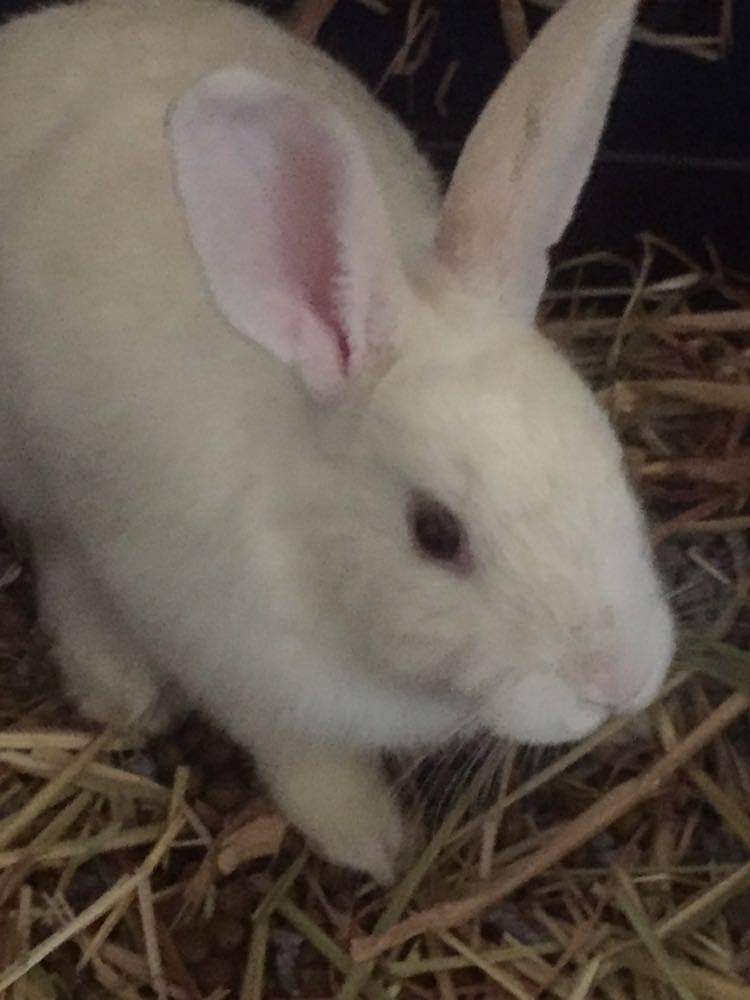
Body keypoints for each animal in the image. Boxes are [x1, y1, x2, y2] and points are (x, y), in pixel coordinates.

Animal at [0, 0, 675, 883]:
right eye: (435, 534)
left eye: (613, 461)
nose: (617, 682)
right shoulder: (241, 671)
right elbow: (305, 761)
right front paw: (373, 844)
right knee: (61, 553)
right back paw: (123, 691)